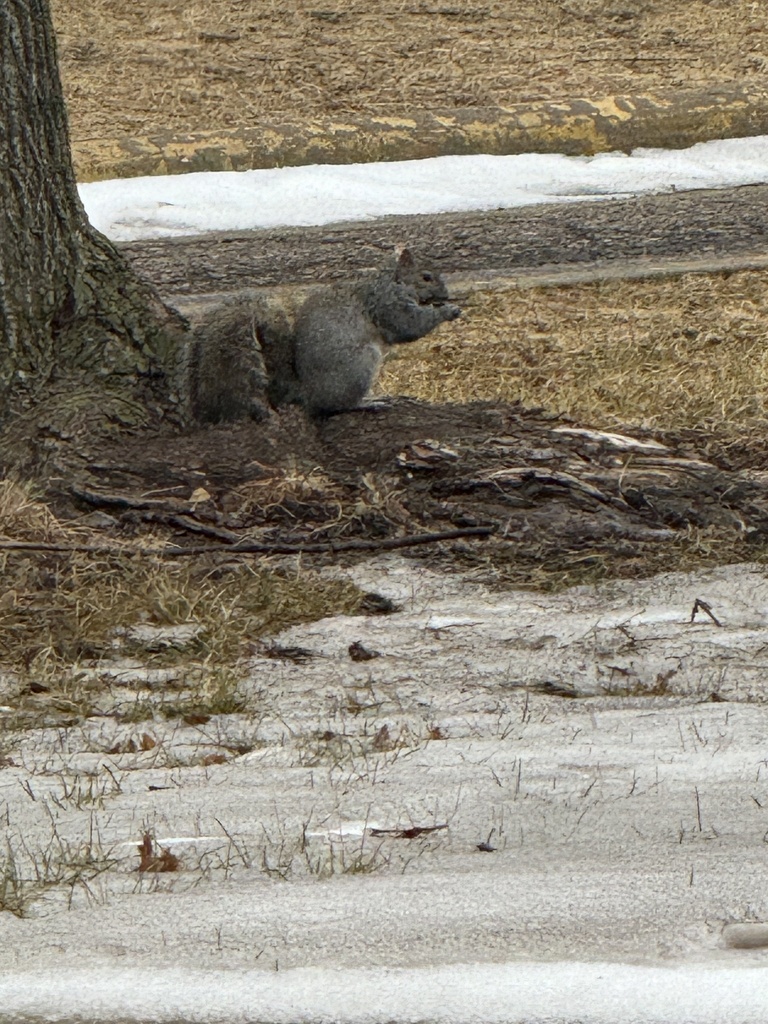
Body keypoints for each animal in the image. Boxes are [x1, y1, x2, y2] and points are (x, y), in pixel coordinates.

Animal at [187, 248, 460, 422]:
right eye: (426, 277)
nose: (446, 295)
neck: (390, 283)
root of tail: (306, 392)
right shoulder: (388, 305)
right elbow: (408, 325)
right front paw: (447, 311)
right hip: (360, 365)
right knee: (337, 406)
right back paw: (368, 402)